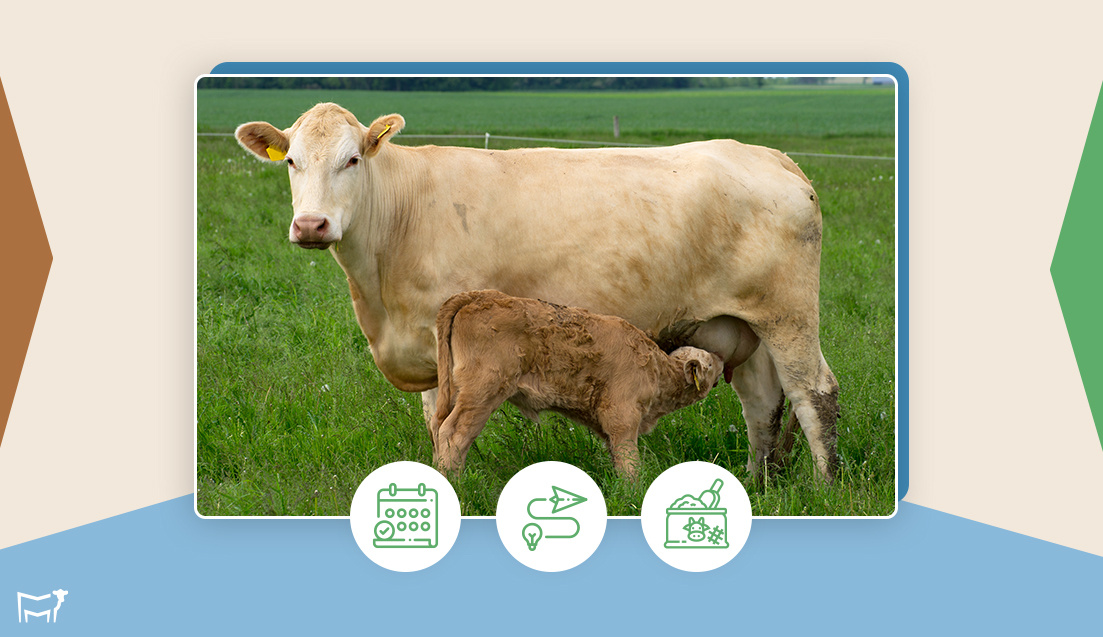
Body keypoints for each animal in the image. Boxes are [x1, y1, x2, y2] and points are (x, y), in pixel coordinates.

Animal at [431, 290, 725, 477]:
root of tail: (483, 294)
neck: (656, 368)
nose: (722, 358)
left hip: (456, 389)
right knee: (454, 434)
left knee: (437, 426)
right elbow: (630, 464)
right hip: (483, 390)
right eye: (709, 364)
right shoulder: (622, 416)